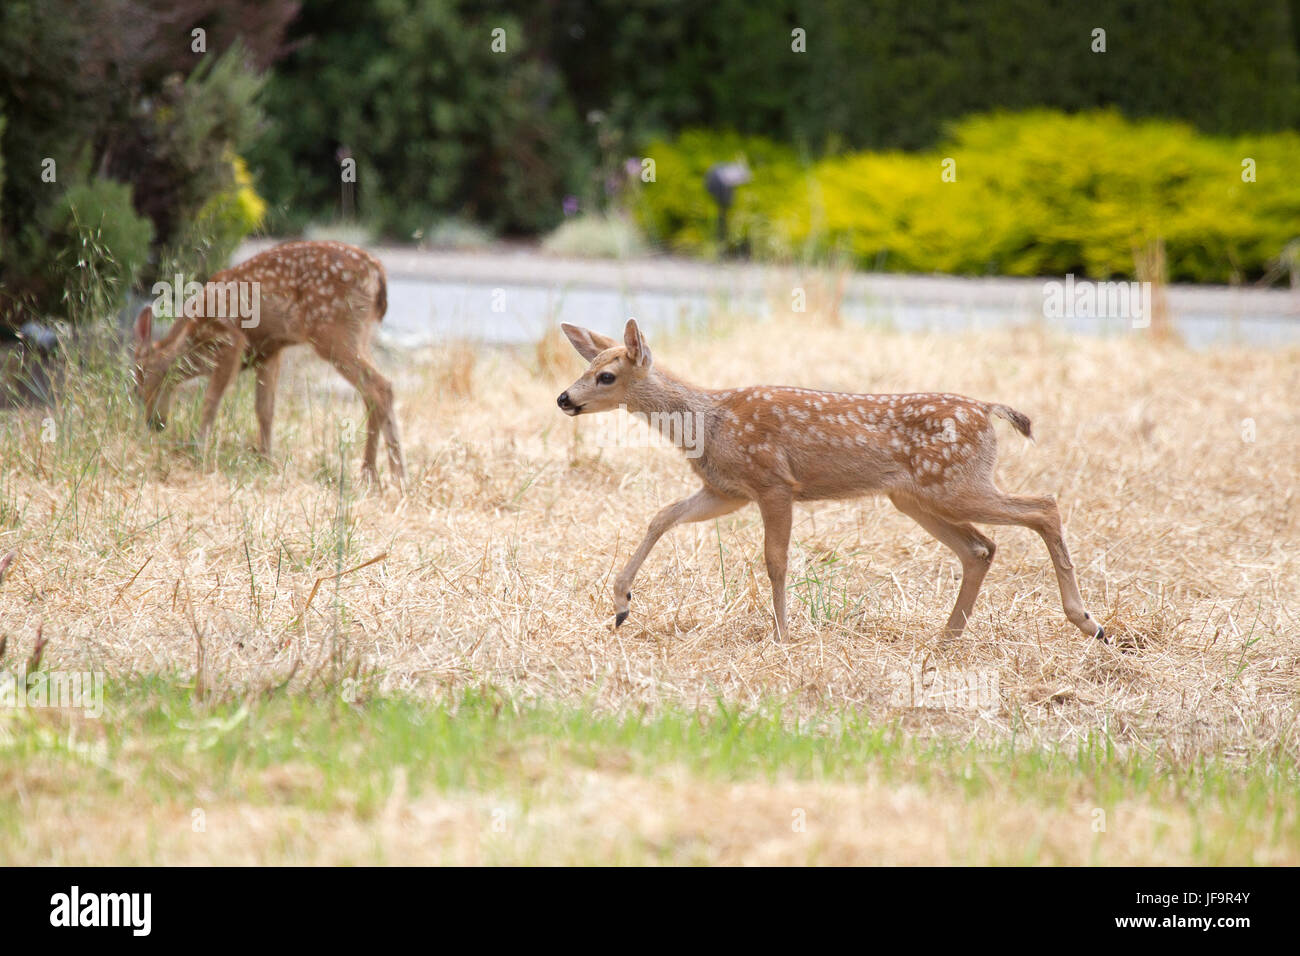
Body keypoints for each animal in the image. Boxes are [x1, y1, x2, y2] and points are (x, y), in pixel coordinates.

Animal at [131, 240, 406, 487]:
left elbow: (212, 401)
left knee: (380, 387)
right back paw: (389, 476)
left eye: (138, 384)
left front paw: (198, 451)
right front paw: (266, 460)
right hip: (360, 335)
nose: (154, 423)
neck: (192, 337)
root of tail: (376, 271)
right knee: (376, 391)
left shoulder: (232, 340)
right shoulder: (270, 351)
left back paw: (378, 475)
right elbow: (265, 409)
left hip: (333, 331)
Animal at [556, 319, 1107, 644]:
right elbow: (661, 517)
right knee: (981, 548)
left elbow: (775, 560)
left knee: (1043, 506)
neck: (708, 422)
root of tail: (989, 411)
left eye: (606, 376)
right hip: (916, 497)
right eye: (589, 365)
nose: (564, 398)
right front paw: (621, 604)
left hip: (954, 483)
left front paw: (782, 634)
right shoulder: (728, 490)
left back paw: (1087, 622)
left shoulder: (774, 482)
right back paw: (947, 636)